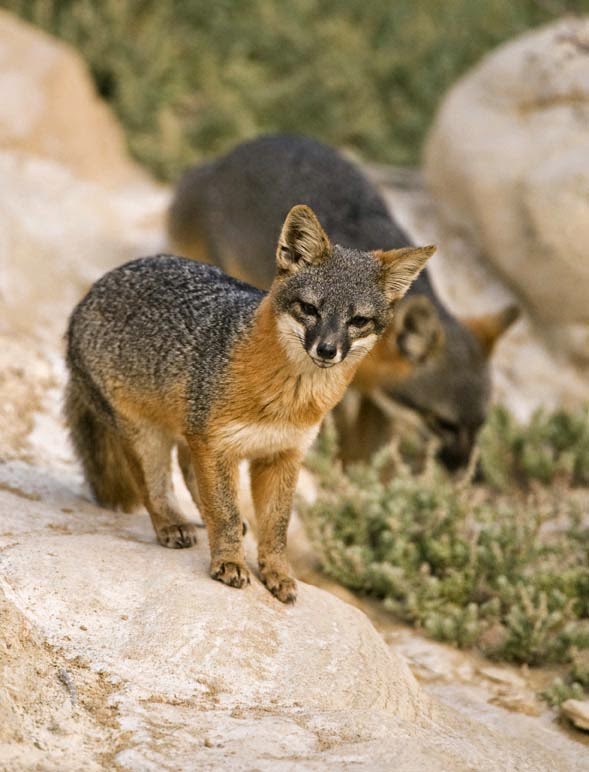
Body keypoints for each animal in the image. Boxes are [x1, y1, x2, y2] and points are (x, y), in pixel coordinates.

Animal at [65, 204, 433, 602]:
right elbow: (224, 511)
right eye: (309, 309)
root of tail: (92, 291)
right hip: (148, 436)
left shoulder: (282, 455)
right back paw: (172, 523)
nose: (327, 350)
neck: (288, 400)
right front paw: (229, 563)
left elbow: (276, 525)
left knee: (189, 469)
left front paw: (276, 572)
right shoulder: (216, 445)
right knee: (156, 485)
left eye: (358, 321)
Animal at [168, 135, 518, 469]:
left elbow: (366, 446)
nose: (470, 474)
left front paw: (362, 473)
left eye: (479, 426)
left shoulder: (375, 400)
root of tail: (226, 158)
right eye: (443, 424)